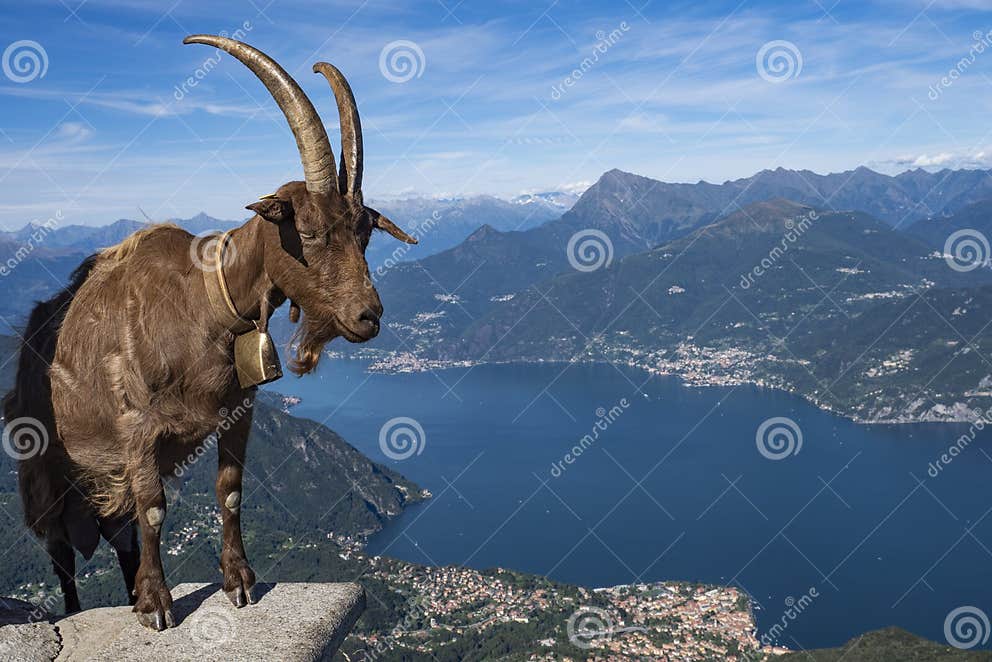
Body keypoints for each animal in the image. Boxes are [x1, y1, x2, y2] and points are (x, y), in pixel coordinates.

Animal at [3, 35, 415, 630]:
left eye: (365, 233)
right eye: (309, 231)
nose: (368, 316)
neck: (203, 309)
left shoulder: (237, 412)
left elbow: (230, 491)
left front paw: (238, 581)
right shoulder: (137, 431)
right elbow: (155, 508)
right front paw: (158, 605)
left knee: (121, 536)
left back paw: (130, 589)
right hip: (43, 473)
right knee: (61, 553)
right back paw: (83, 610)